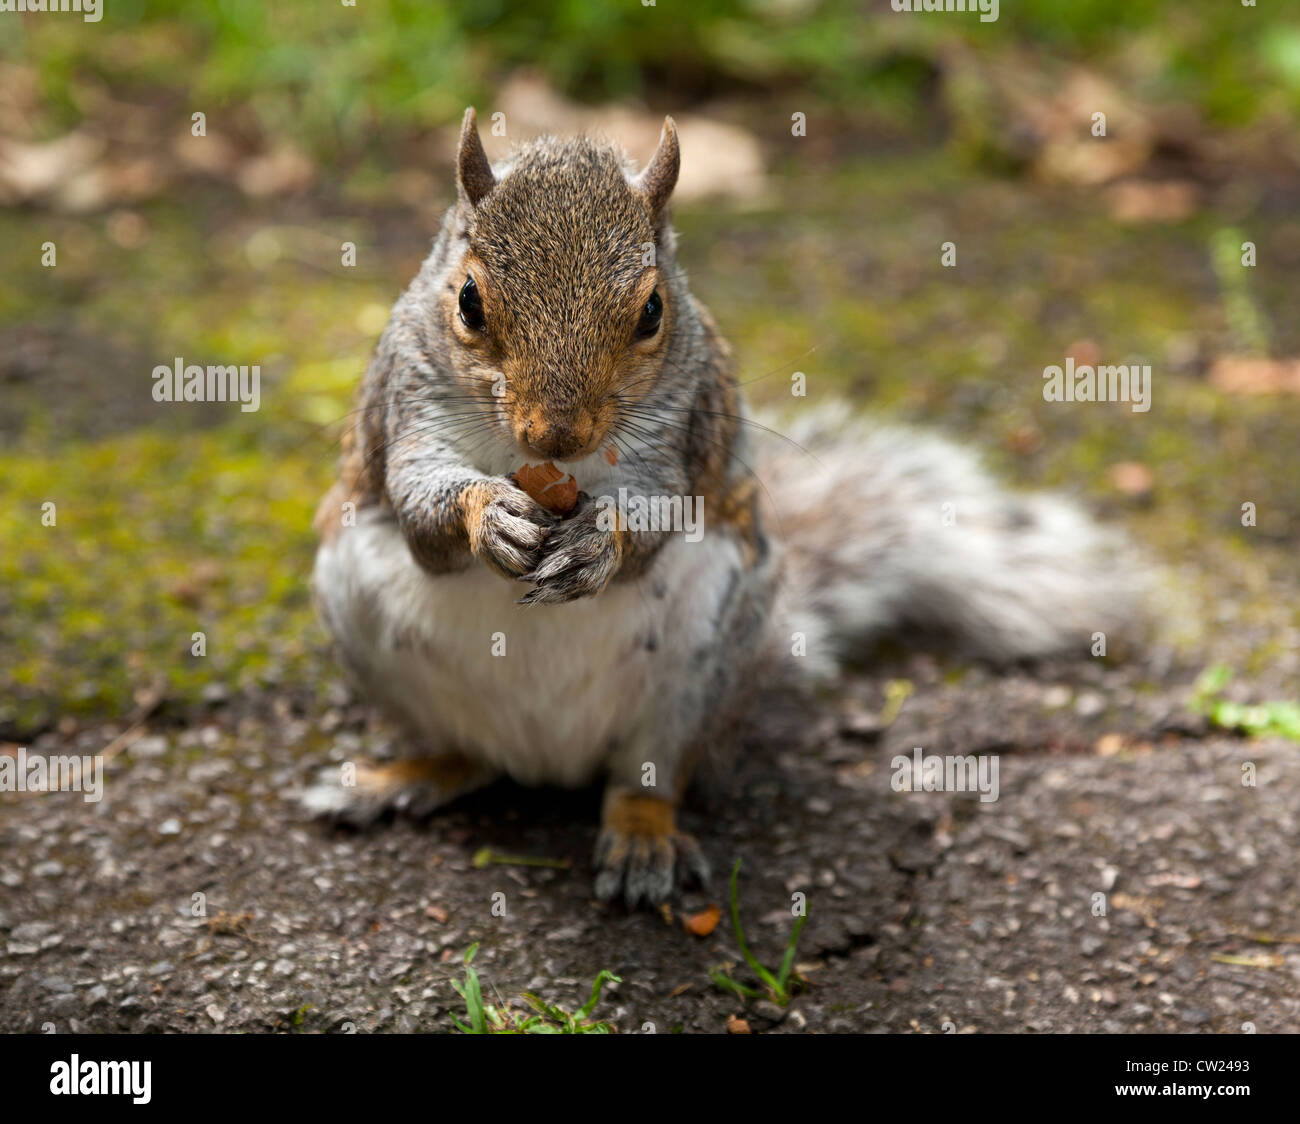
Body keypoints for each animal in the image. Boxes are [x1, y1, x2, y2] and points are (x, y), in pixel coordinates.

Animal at [303, 108, 1137, 909]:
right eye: (469, 302)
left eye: (652, 311)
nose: (557, 435)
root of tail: (546, 756)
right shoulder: (408, 404)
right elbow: (420, 498)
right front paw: (492, 515)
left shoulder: (679, 431)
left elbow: (658, 512)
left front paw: (601, 542)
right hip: (361, 613)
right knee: (469, 755)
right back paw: (397, 779)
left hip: (707, 655)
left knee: (649, 774)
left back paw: (642, 839)